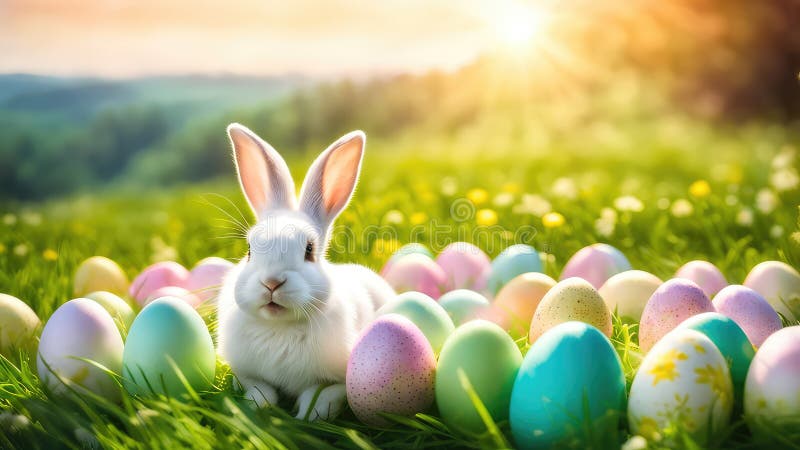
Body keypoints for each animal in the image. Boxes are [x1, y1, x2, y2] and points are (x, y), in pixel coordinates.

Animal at [217, 123, 396, 421]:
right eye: (250, 249)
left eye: (309, 250)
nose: (272, 283)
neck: (280, 327)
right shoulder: (245, 373)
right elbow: (261, 390)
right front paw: (259, 406)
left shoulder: (339, 379)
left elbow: (320, 394)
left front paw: (309, 415)